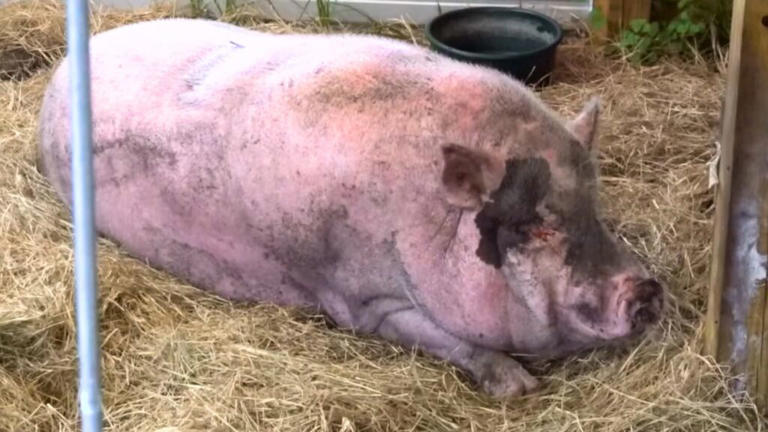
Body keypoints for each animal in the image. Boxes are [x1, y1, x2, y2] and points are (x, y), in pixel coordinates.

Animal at [37, 18, 663, 397]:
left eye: (594, 204)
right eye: (533, 227)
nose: (646, 288)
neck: (423, 220)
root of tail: (60, 72)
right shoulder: (362, 302)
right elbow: (453, 340)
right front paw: (521, 386)